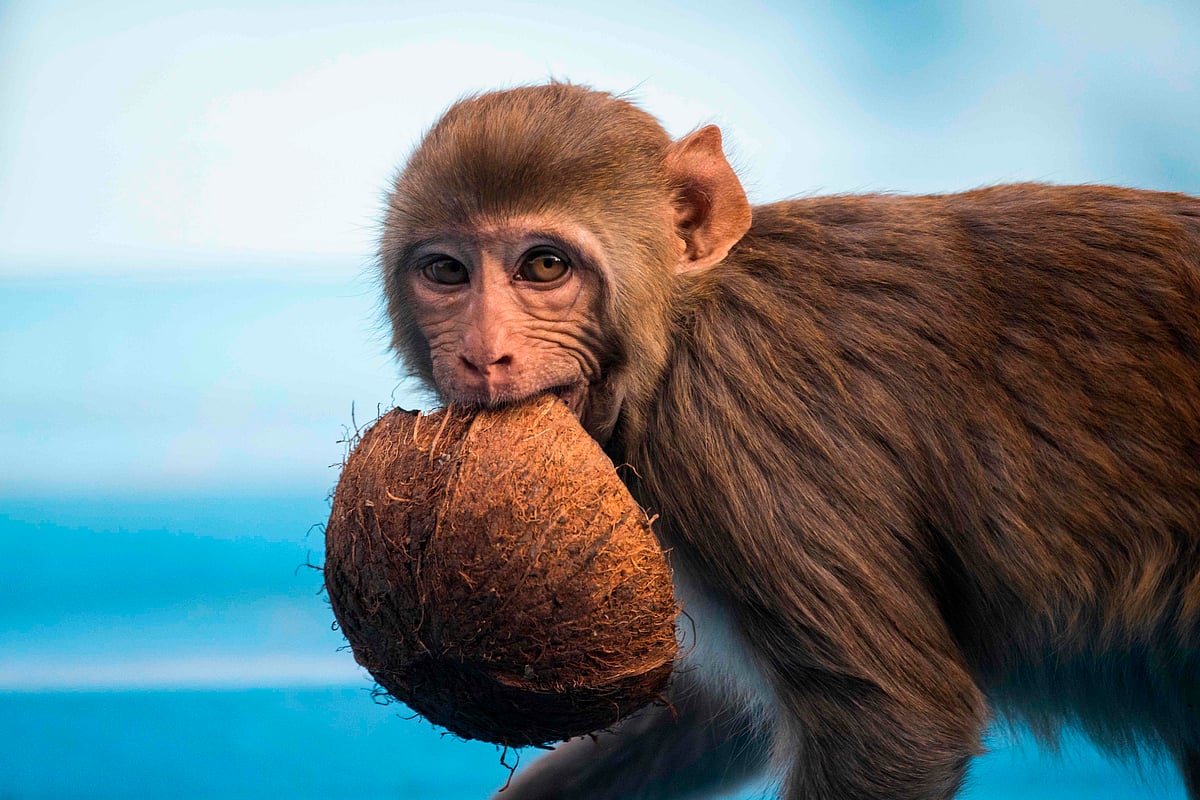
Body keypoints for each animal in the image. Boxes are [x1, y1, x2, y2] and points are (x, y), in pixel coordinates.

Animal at [378, 83, 1200, 799]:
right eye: (446, 272)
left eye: (544, 265)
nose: (482, 354)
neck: (669, 338)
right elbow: (712, 723)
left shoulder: (729, 436)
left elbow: (898, 723)